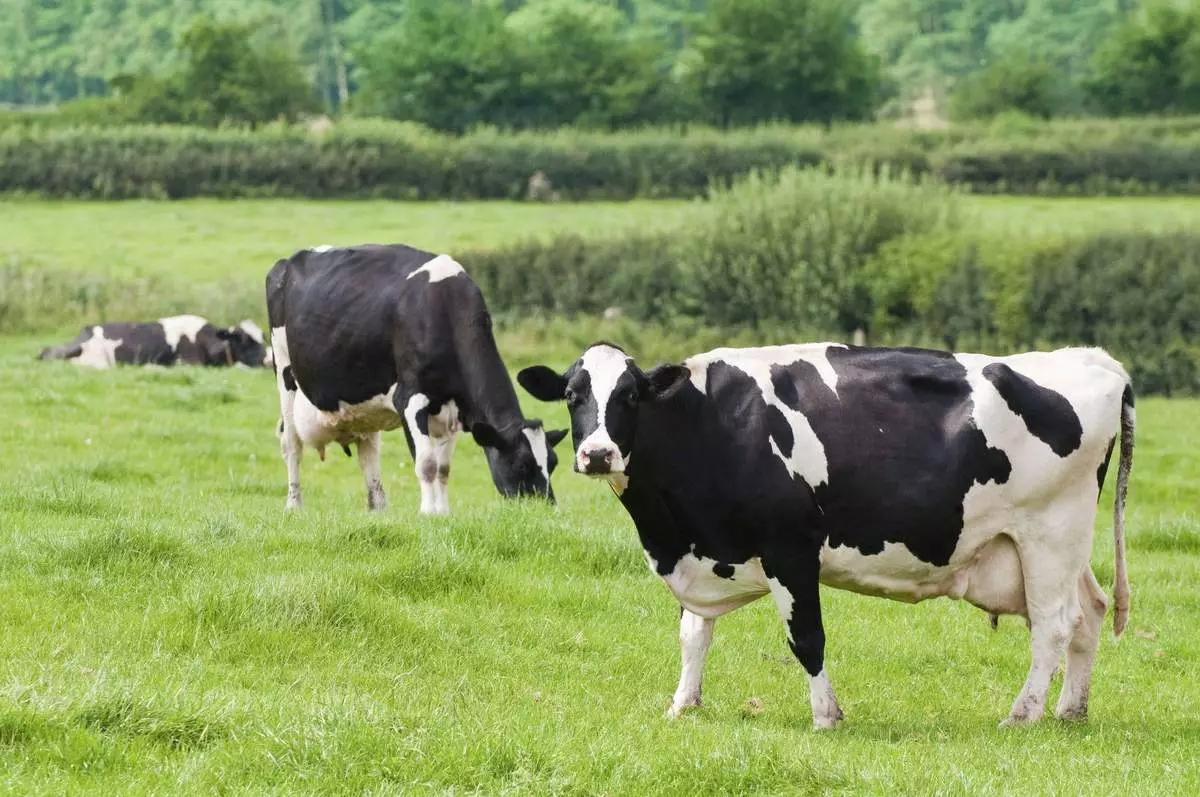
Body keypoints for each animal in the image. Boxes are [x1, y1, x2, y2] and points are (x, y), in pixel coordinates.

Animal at [265, 244, 564, 516]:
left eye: (553, 463)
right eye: (522, 465)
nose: (546, 509)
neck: (445, 310)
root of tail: (289, 260)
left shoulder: (454, 410)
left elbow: (443, 469)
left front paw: (443, 513)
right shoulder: (410, 399)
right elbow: (427, 464)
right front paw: (428, 513)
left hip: (360, 406)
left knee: (368, 452)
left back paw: (378, 509)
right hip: (284, 372)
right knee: (292, 445)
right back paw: (294, 505)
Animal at [518, 343, 1132, 729]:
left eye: (629, 396)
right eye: (572, 396)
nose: (598, 453)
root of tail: (1091, 358)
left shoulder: (790, 547)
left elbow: (806, 639)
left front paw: (825, 717)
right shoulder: (706, 547)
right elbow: (693, 634)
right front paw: (682, 705)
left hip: (1049, 532)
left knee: (1054, 626)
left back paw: (1022, 715)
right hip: (1059, 546)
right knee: (1092, 611)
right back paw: (1070, 712)